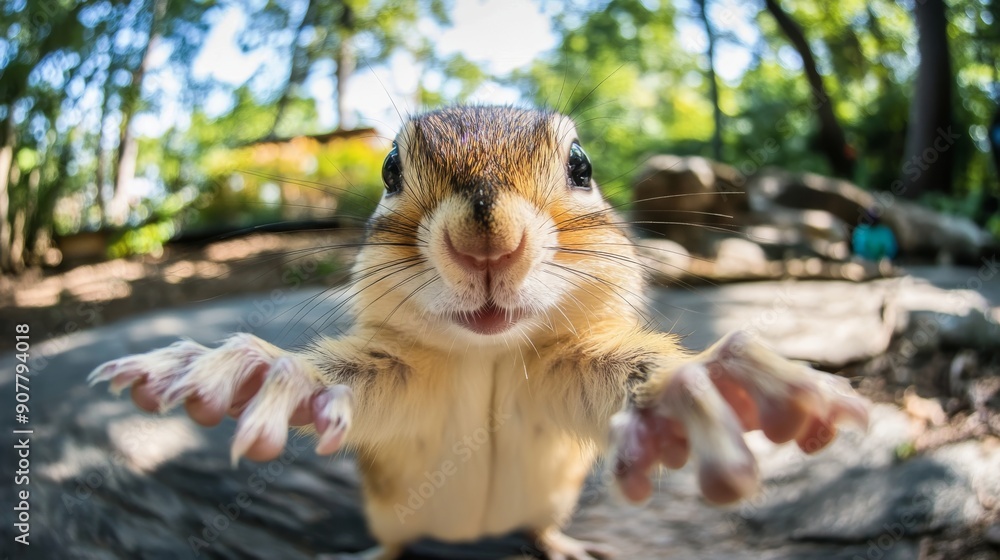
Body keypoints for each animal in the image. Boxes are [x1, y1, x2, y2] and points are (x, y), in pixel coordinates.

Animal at [90, 106, 870, 560]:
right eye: (389, 168)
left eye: (582, 165)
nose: (486, 242)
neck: (489, 354)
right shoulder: (408, 379)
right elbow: (343, 386)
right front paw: (258, 372)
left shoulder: (558, 372)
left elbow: (620, 379)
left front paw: (702, 382)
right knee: (396, 545)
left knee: (537, 528)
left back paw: (562, 545)